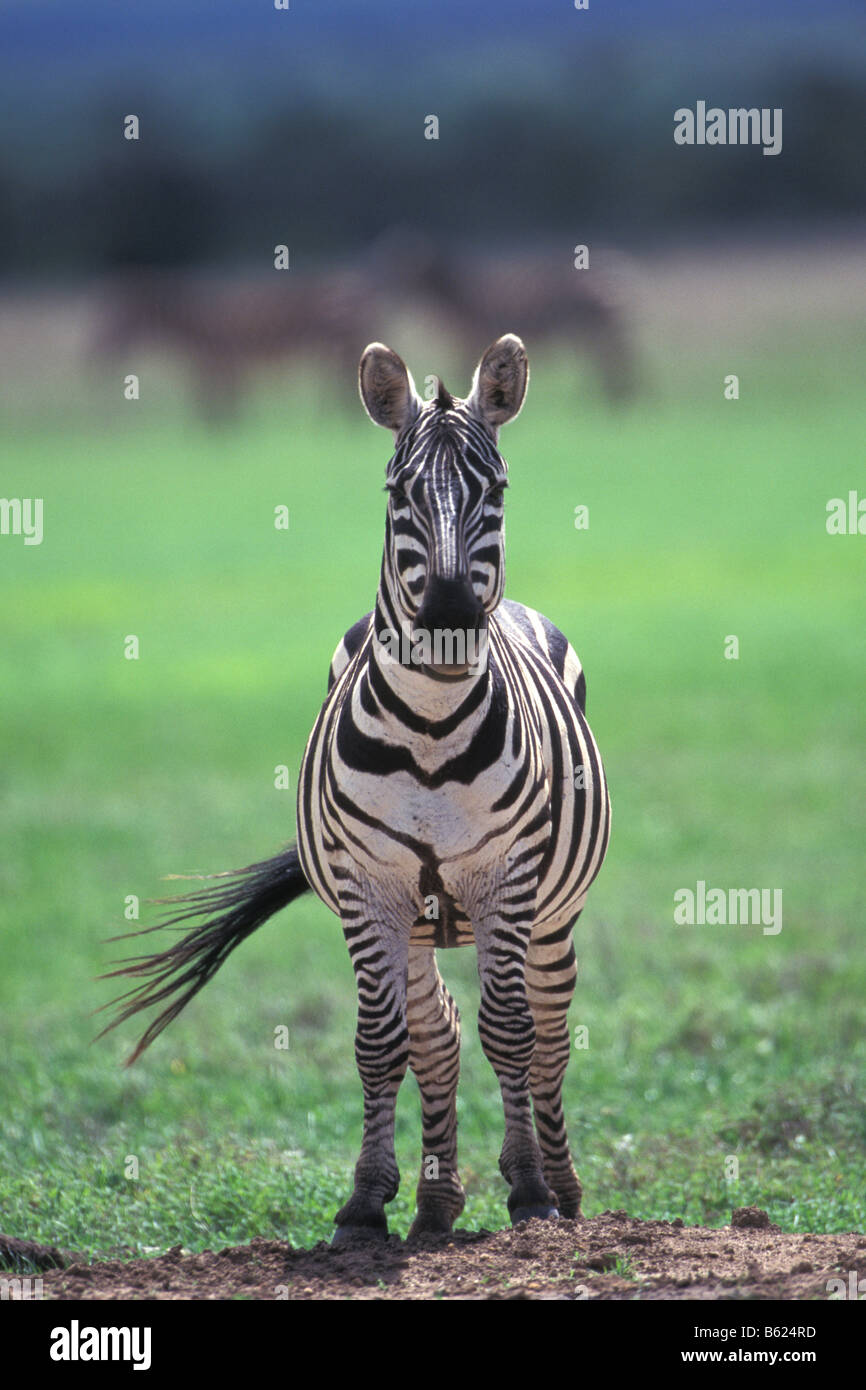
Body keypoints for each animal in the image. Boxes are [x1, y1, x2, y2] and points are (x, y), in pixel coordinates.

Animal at [100, 333, 611, 1243]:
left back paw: (560, 1184)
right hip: (414, 919)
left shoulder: (506, 879)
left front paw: (528, 1193)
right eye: (398, 492)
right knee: (436, 1033)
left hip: (552, 912)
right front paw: (367, 1203)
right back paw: (437, 1206)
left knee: (547, 1031)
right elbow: (381, 1042)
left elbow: (511, 1033)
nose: (449, 615)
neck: (435, 731)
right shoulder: (369, 883)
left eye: (497, 489)